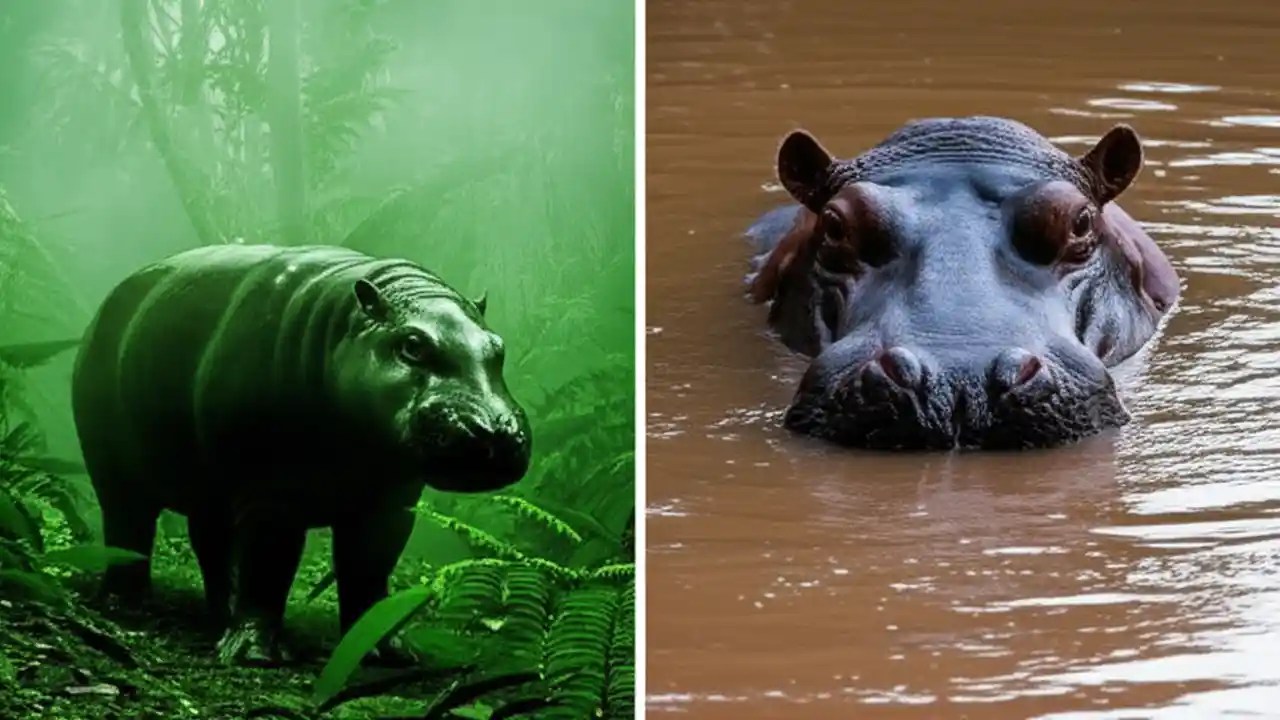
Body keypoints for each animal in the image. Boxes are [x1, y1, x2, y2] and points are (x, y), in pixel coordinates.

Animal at [71, 244, 532, 664]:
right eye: (412, 344)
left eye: (499, 347)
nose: (496, 431)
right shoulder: (269, 492)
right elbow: (268, 563)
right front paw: (255, 655)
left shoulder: (390, 502)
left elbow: (370, 569)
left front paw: (384, 648)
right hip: (116, 473)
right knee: (129, 530)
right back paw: (126, 605)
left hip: (210, 488)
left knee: (211, 545)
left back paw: (220, 616)